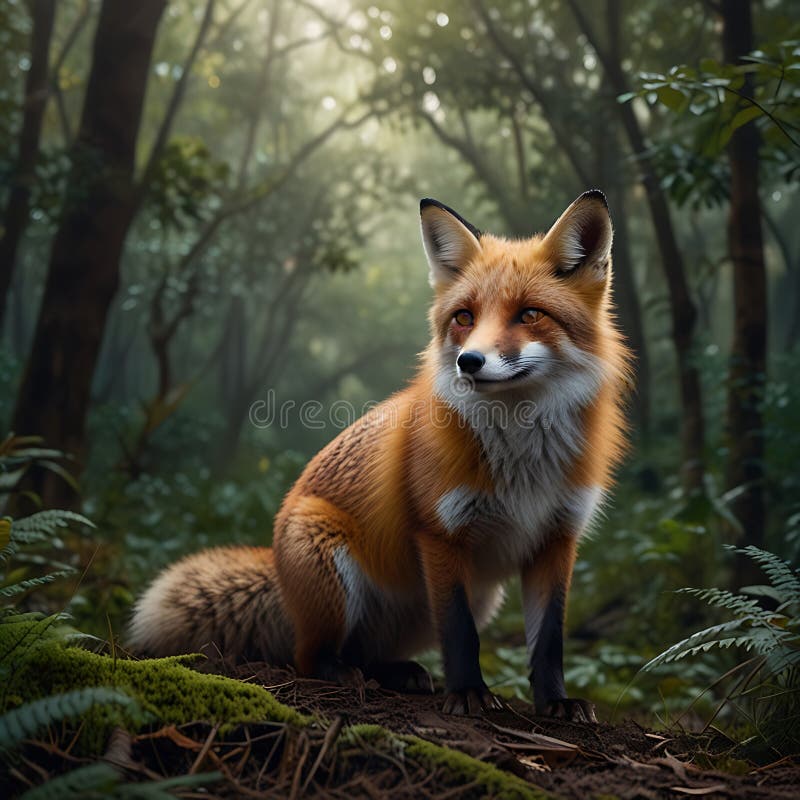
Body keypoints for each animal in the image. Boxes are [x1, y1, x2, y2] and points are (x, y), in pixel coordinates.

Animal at [129, 190, 631, 721]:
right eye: (464, 318)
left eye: (530, 314)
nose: (468, 361)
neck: (523, 463)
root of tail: (276, 569)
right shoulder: (440, 534)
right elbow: (460, 633)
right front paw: (468, 693)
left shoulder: (557, 539)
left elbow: (550, 640)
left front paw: (555, 701)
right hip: (331, 567)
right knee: (309, 656)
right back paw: (342, 672)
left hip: (476, 597)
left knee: (369, 652)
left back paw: (397, 672)